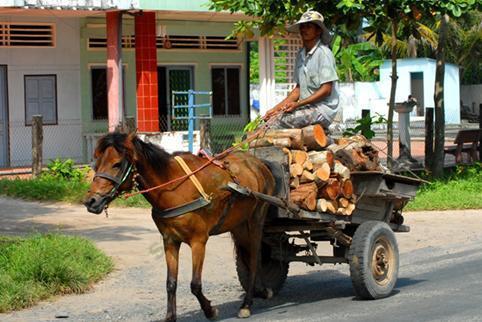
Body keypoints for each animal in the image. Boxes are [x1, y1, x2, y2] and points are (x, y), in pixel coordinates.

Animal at [84, 131, 274, 322]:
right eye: (96, 164)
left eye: (116, 164)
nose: (91, 201)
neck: (173, 188)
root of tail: (258, 163)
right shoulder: (170, 241)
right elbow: (170, 283)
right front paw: (170, 317)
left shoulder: (199, 242)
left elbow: (195, 284)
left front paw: (210, 311)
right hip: (238, 225)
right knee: (247, 256)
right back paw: (260, 291)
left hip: (256, 219)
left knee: (254, 257)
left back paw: (247, 303)